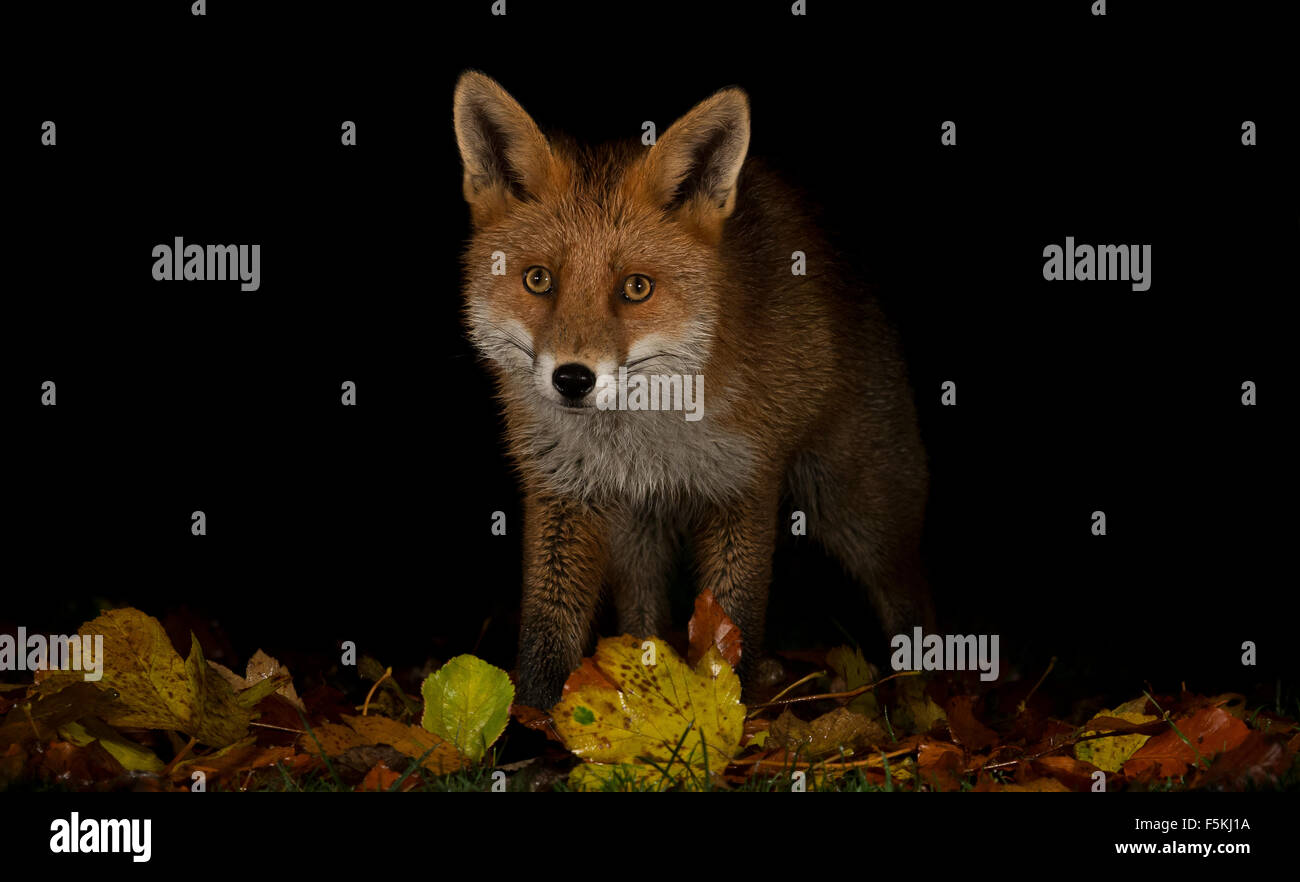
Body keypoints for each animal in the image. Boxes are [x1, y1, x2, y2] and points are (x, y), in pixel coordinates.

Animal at [453, 71, 934, 710]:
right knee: (643, 620)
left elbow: (735, 619)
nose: (573, 379)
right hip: (640, 533)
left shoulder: (745, 483)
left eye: (636, 288)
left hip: (860, 512)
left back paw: (924, 700)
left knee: (909, 596)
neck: (644, 440)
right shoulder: (563, 492)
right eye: (538, 280)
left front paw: (729, 712)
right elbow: (546, 631)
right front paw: (528, 723)